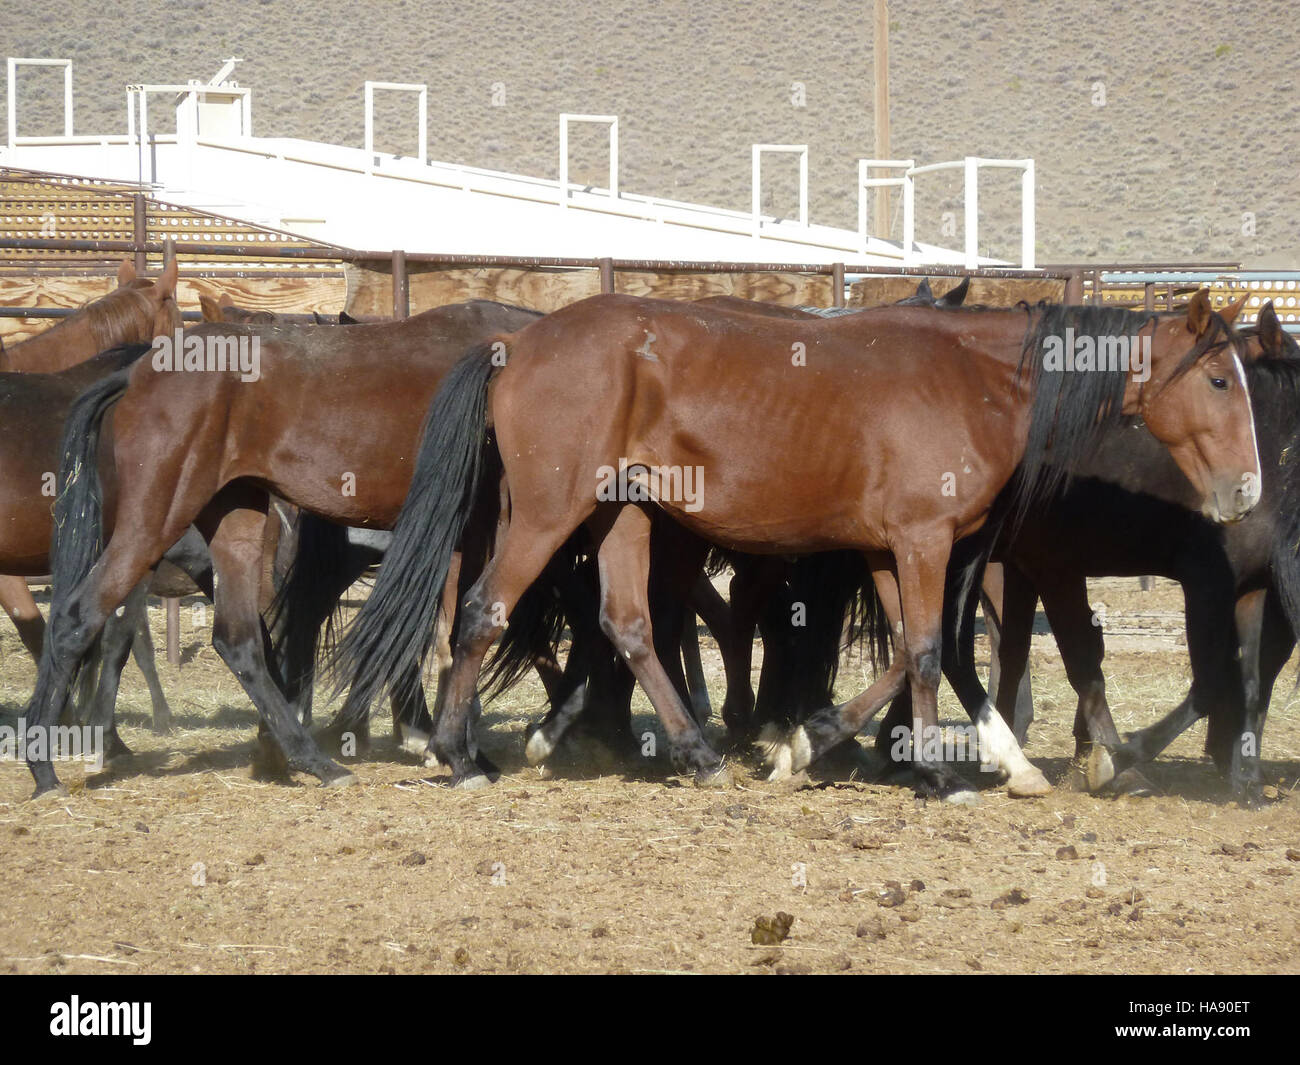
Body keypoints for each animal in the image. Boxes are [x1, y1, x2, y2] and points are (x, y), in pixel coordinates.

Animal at [22, 300, 541, 798]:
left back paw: (311, 760)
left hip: (234, 518)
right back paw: (43, 768)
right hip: (153, 520)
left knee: (237, 640)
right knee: (76, 618)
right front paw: (461, 753)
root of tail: (135, 375)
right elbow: (472, 627)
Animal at [332, 289, 1258, 797]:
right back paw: (459, 755)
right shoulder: (924, 542)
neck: (976, 380)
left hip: (622, 514)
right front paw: (934, 775)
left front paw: (809, 744)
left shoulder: (891, 549)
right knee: (483, 610)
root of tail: (516, 342)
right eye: (1219, 378)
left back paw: (700, 754)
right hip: (548, 513)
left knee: (627, 625)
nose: (1247, 490)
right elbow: (929, 652)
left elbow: (911, 651)